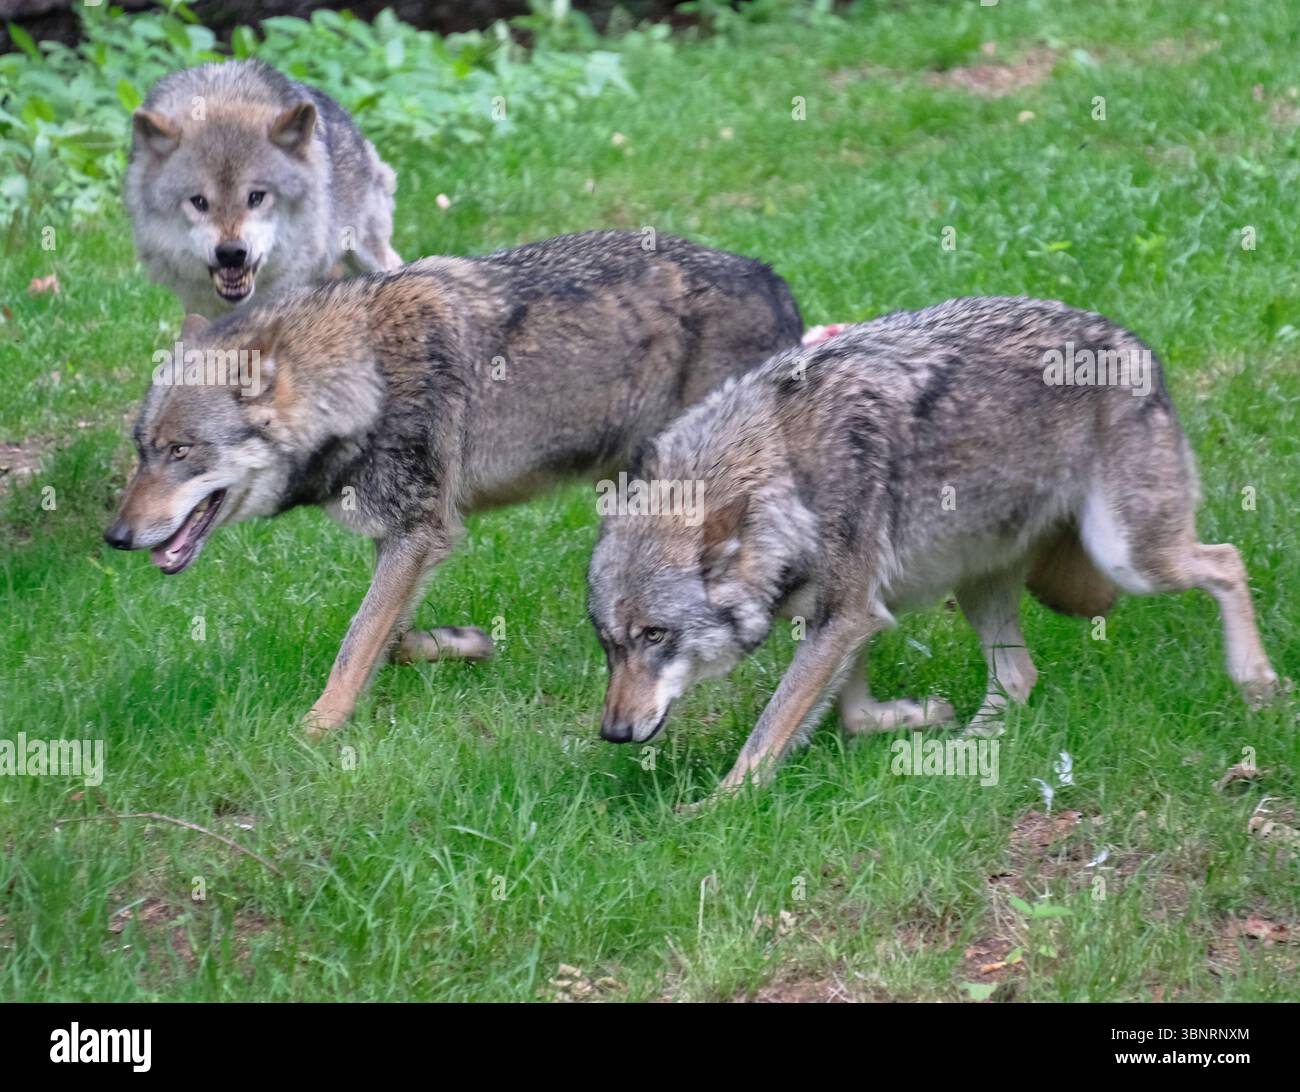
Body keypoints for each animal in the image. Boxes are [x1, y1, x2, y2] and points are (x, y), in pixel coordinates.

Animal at [103, 231, 803, 733]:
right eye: (142, 451)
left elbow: (355, 644)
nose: (115, 536)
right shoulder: (402, 540)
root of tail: (773, 279)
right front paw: (459, 642)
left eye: (181, 451)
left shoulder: (421, 531)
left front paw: (316, 730)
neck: (365, 380)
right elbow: (388, 639)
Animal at [587, 296, 1284, 797]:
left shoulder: (847, 616)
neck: (776, 464)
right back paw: (960, 748)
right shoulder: (847, 620)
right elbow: (851, 714)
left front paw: (715, 808)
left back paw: (1256, 683)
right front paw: (920, 716)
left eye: (655, 635)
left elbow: (766, 737)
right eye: (609, 645)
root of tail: (1135, 343)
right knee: (1019, 679)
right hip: (982, 585)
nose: (613, 732)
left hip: (1130, 559)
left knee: (1227, 560)